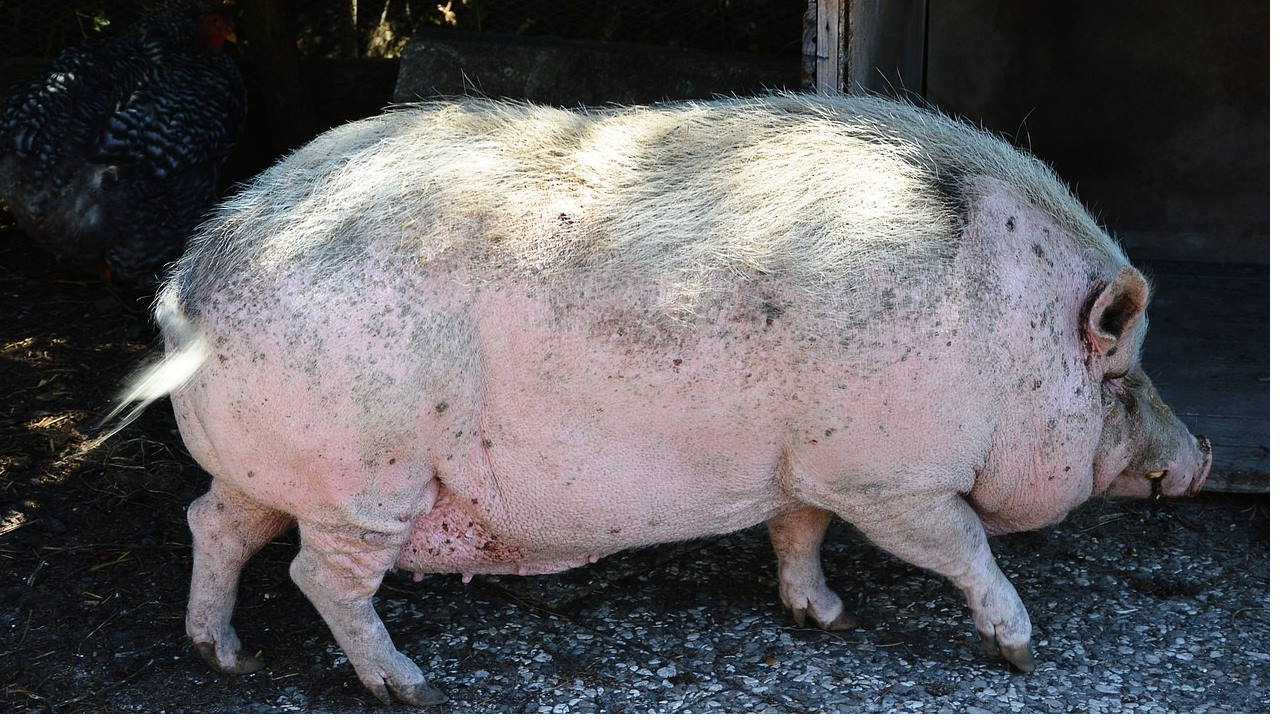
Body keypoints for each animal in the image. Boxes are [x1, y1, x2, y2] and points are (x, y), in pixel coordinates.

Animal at [104, 93, 1211, 705]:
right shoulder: (888, 475)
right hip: (366, 478)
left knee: (213, 524)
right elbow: (964, 549)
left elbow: (796, 534)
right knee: (319, 577)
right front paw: (1020, 653)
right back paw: (412, 690)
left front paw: (824, 621)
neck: (999, 333)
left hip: (274, 468)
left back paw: (226, 661)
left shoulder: (803, 464)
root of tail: (189, 283)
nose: (1200, 460)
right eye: (1118, 375)